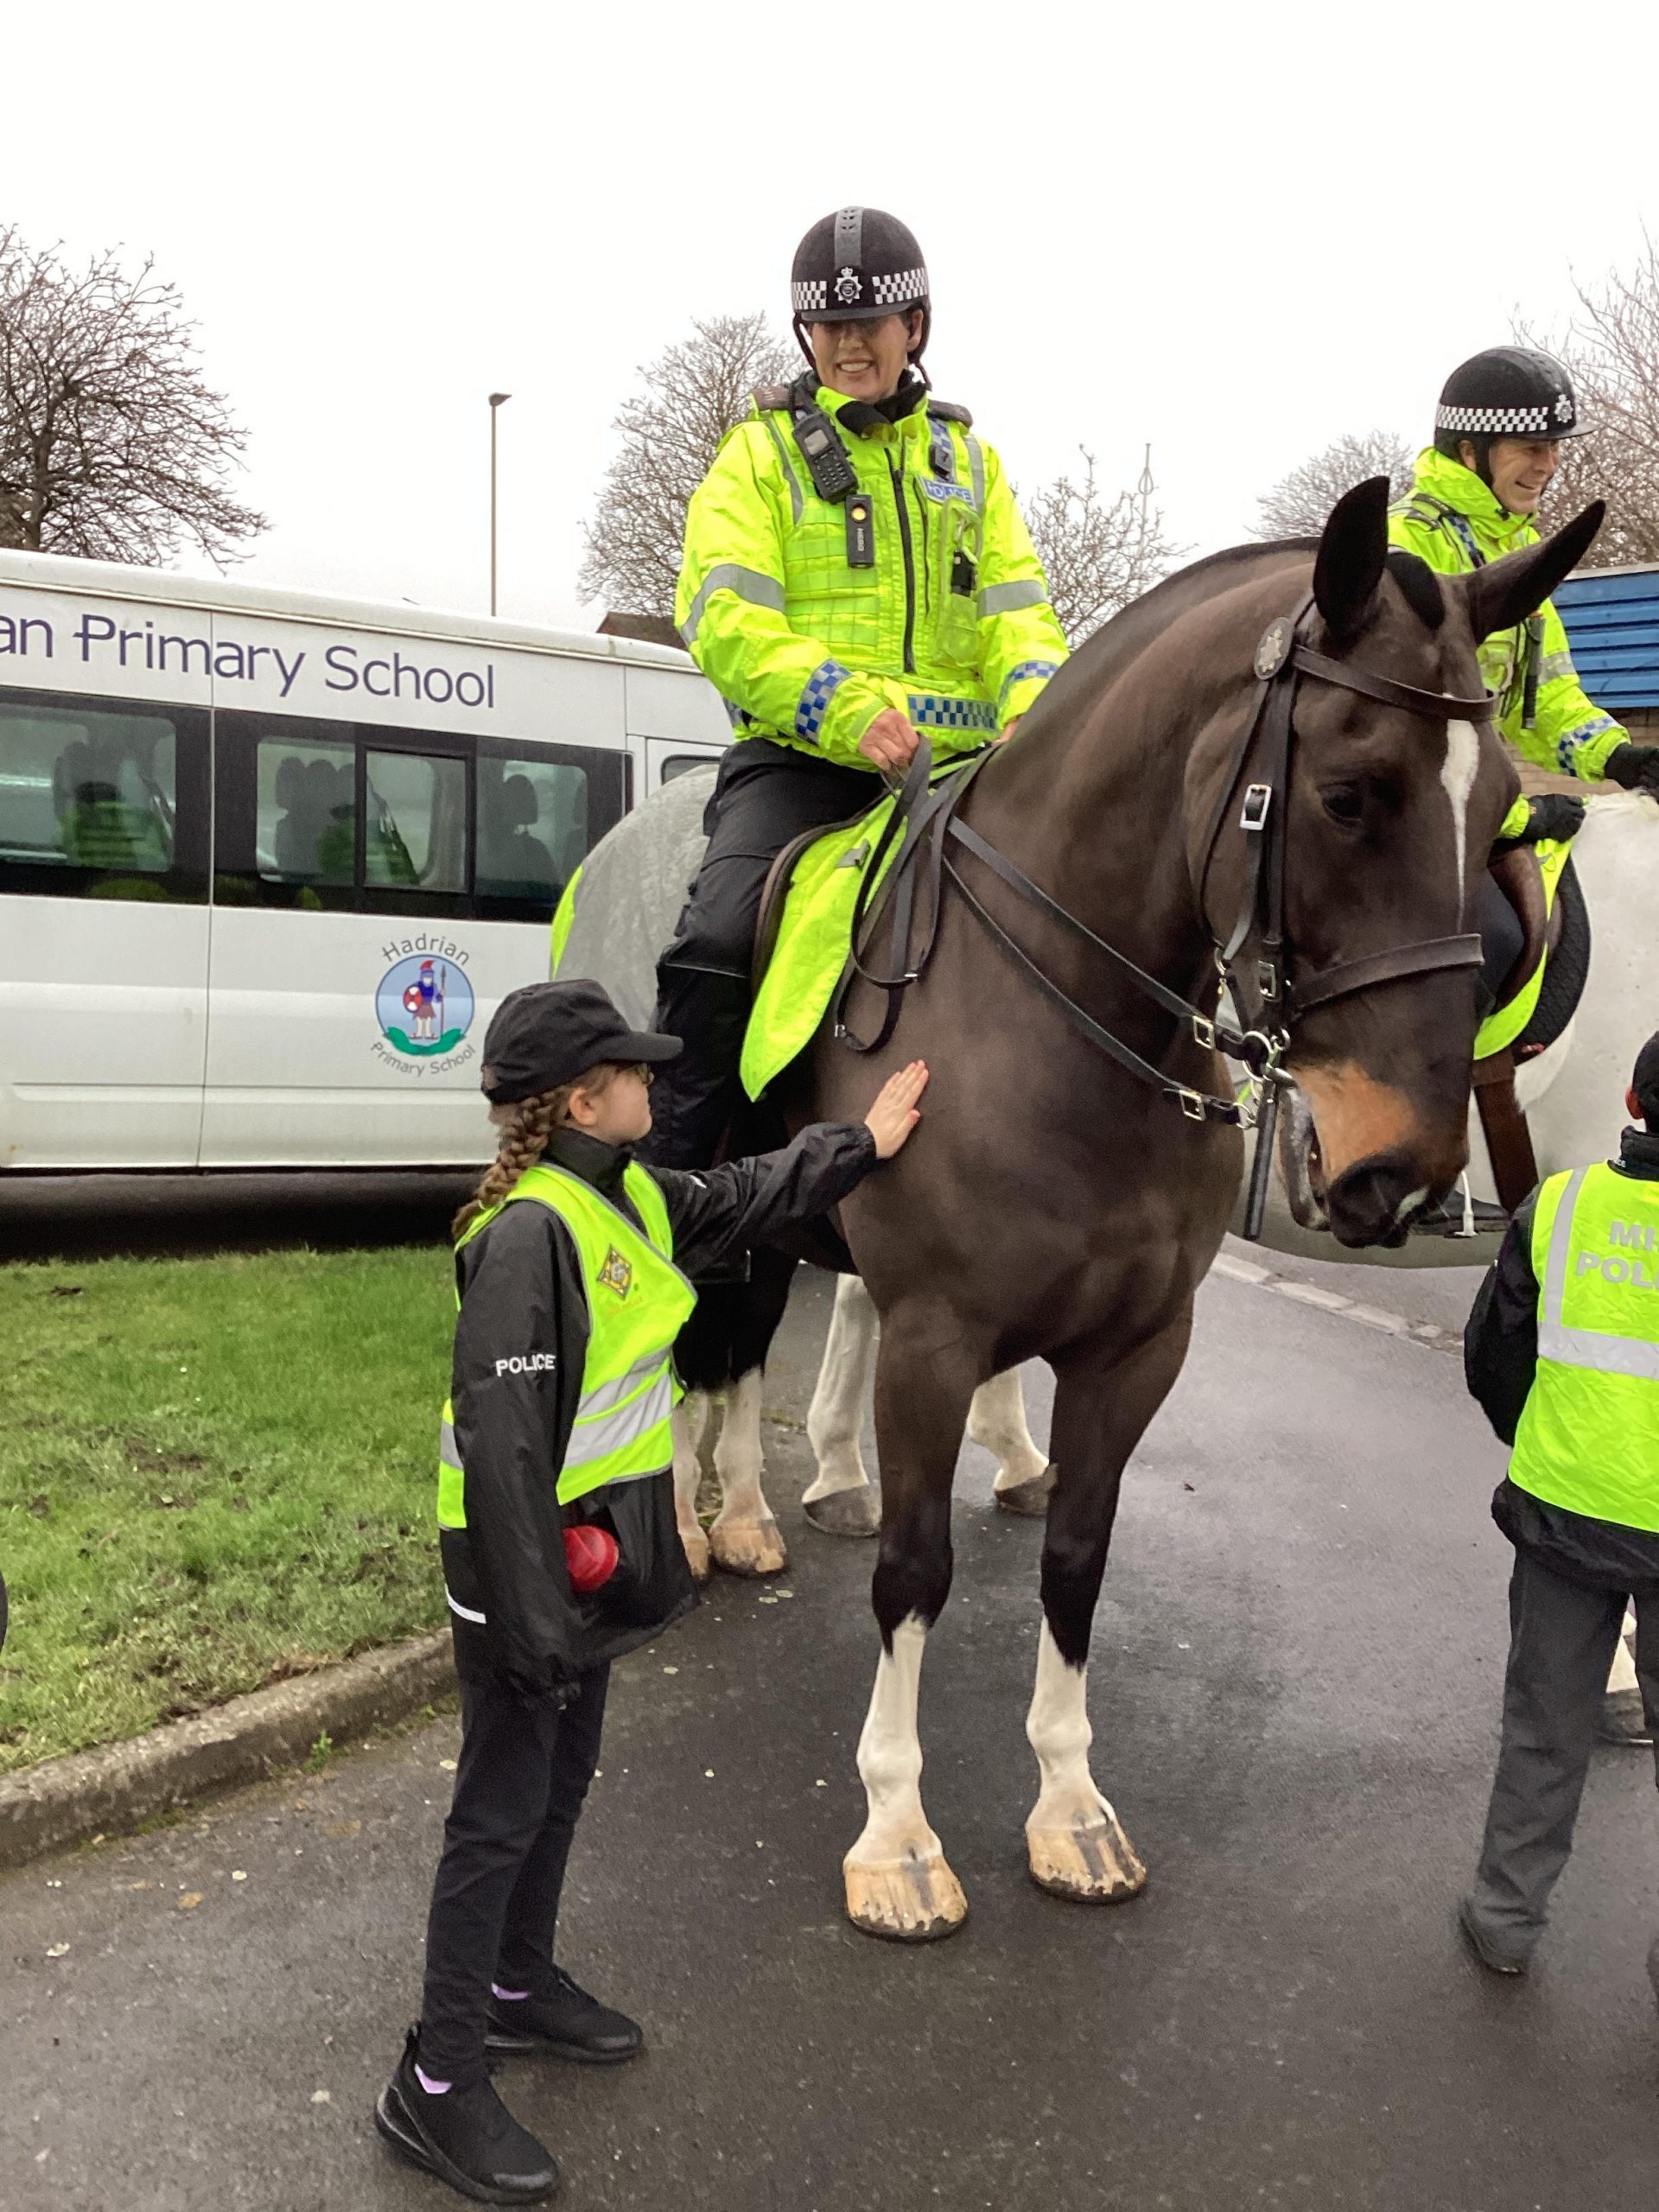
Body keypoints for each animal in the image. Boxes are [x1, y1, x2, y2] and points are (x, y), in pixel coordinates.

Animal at [570, 478, 1602, 1939]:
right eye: (1350, 795)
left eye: (1509, 806)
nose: (1393, 1168)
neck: (1056, 1016)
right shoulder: (935, 1338)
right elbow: (916, 1570)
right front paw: (897, 1833)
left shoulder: (1138, 1349)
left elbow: (1077, 1557)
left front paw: (1069, 1807)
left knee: (743, 1331)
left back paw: (747, 1513)